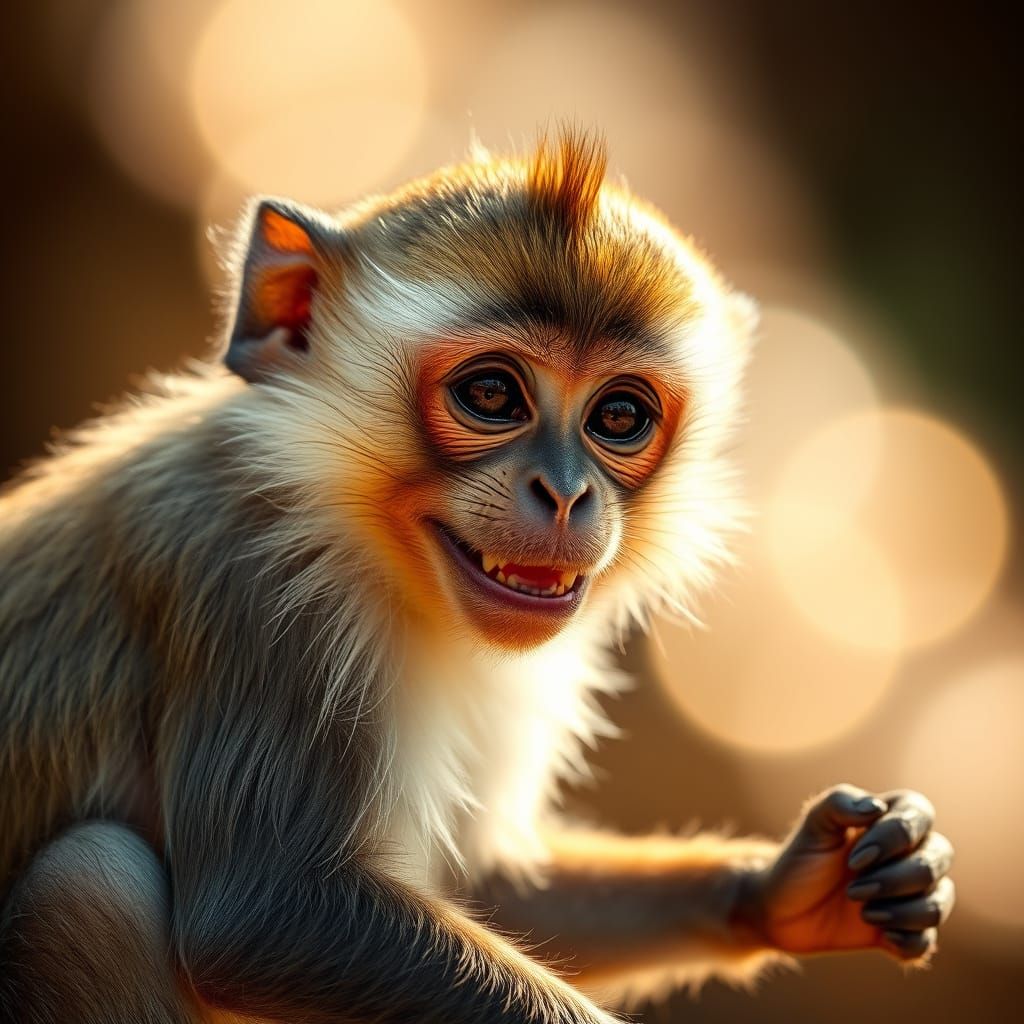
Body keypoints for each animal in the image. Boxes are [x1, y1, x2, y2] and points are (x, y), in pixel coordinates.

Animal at [0, 128, 955, 1024]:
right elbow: (263, 911)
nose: (564, 493)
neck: (367, 543)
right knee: (92, 884)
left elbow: (481, 883)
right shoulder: (254, 577)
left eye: (619, 415)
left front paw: (802, 887)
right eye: (493, 396)